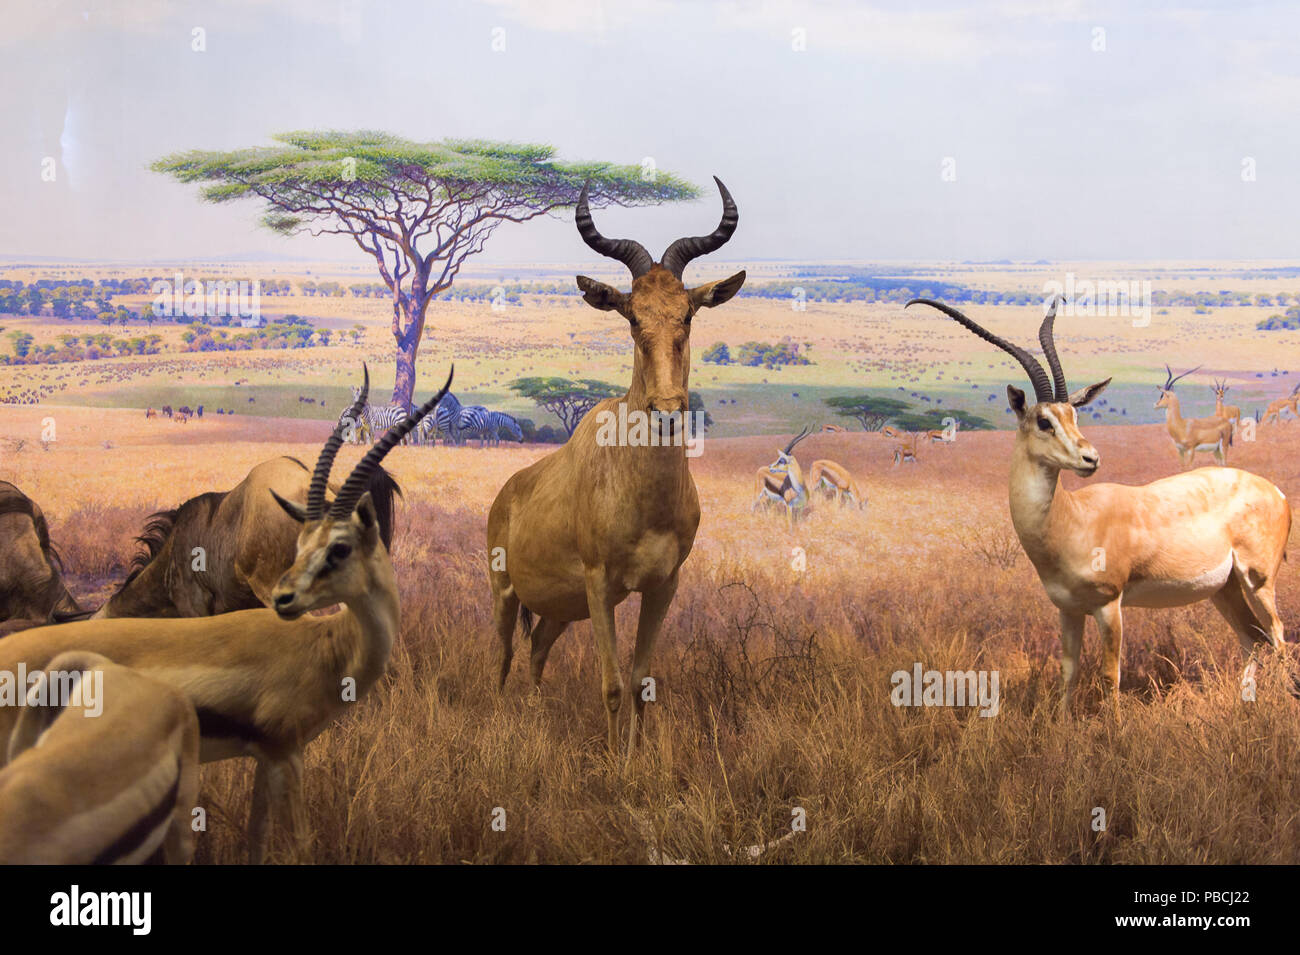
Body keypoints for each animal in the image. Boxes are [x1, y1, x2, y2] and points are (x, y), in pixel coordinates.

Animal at [488, 178, 745, 753]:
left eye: (687, 313)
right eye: (631, 315)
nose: (668, 412)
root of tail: (507, 491)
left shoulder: (663, 585)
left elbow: (640, 681)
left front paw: (636, 754)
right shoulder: (600, 584)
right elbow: (609, 685)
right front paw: (612, 760)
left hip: (561, 607)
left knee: (538, 651)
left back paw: (534, 714)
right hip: (506, 591)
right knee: (502, 657)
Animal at [908, 298, 1292, 711]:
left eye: (1073, 414)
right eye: (1044, 421)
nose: (1090, 458)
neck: (1071, 520)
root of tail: (1278, 492)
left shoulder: (1110, 605)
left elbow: (1110, 676)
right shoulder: (1068, 609)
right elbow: (1068, 671)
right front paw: (1061, 723)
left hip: (1258, 581)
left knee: (1279, 635)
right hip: (1225, 589)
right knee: (1254, 640)